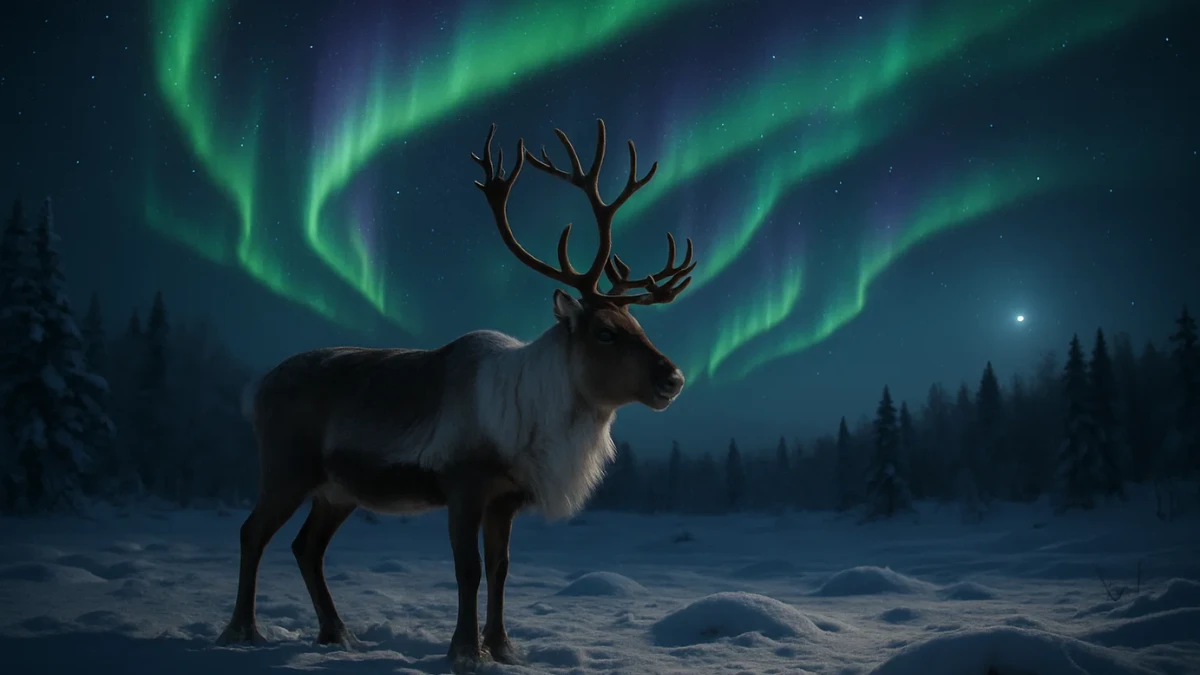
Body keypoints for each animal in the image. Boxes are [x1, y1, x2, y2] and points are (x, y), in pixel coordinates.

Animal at [214, 119, 697, 671]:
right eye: (605, 333)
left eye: (639, 326)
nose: (674, 378)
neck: (535, 419)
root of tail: (256, 389)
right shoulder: (464, 484)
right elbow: (469, 569)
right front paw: (466, 651)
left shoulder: (506, 498)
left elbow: (502, 567)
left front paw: (505, 648)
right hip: (286, 468)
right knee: (252, 532)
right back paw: (242, 631)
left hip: (336, 490)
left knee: (306, 547)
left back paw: (339, 634)